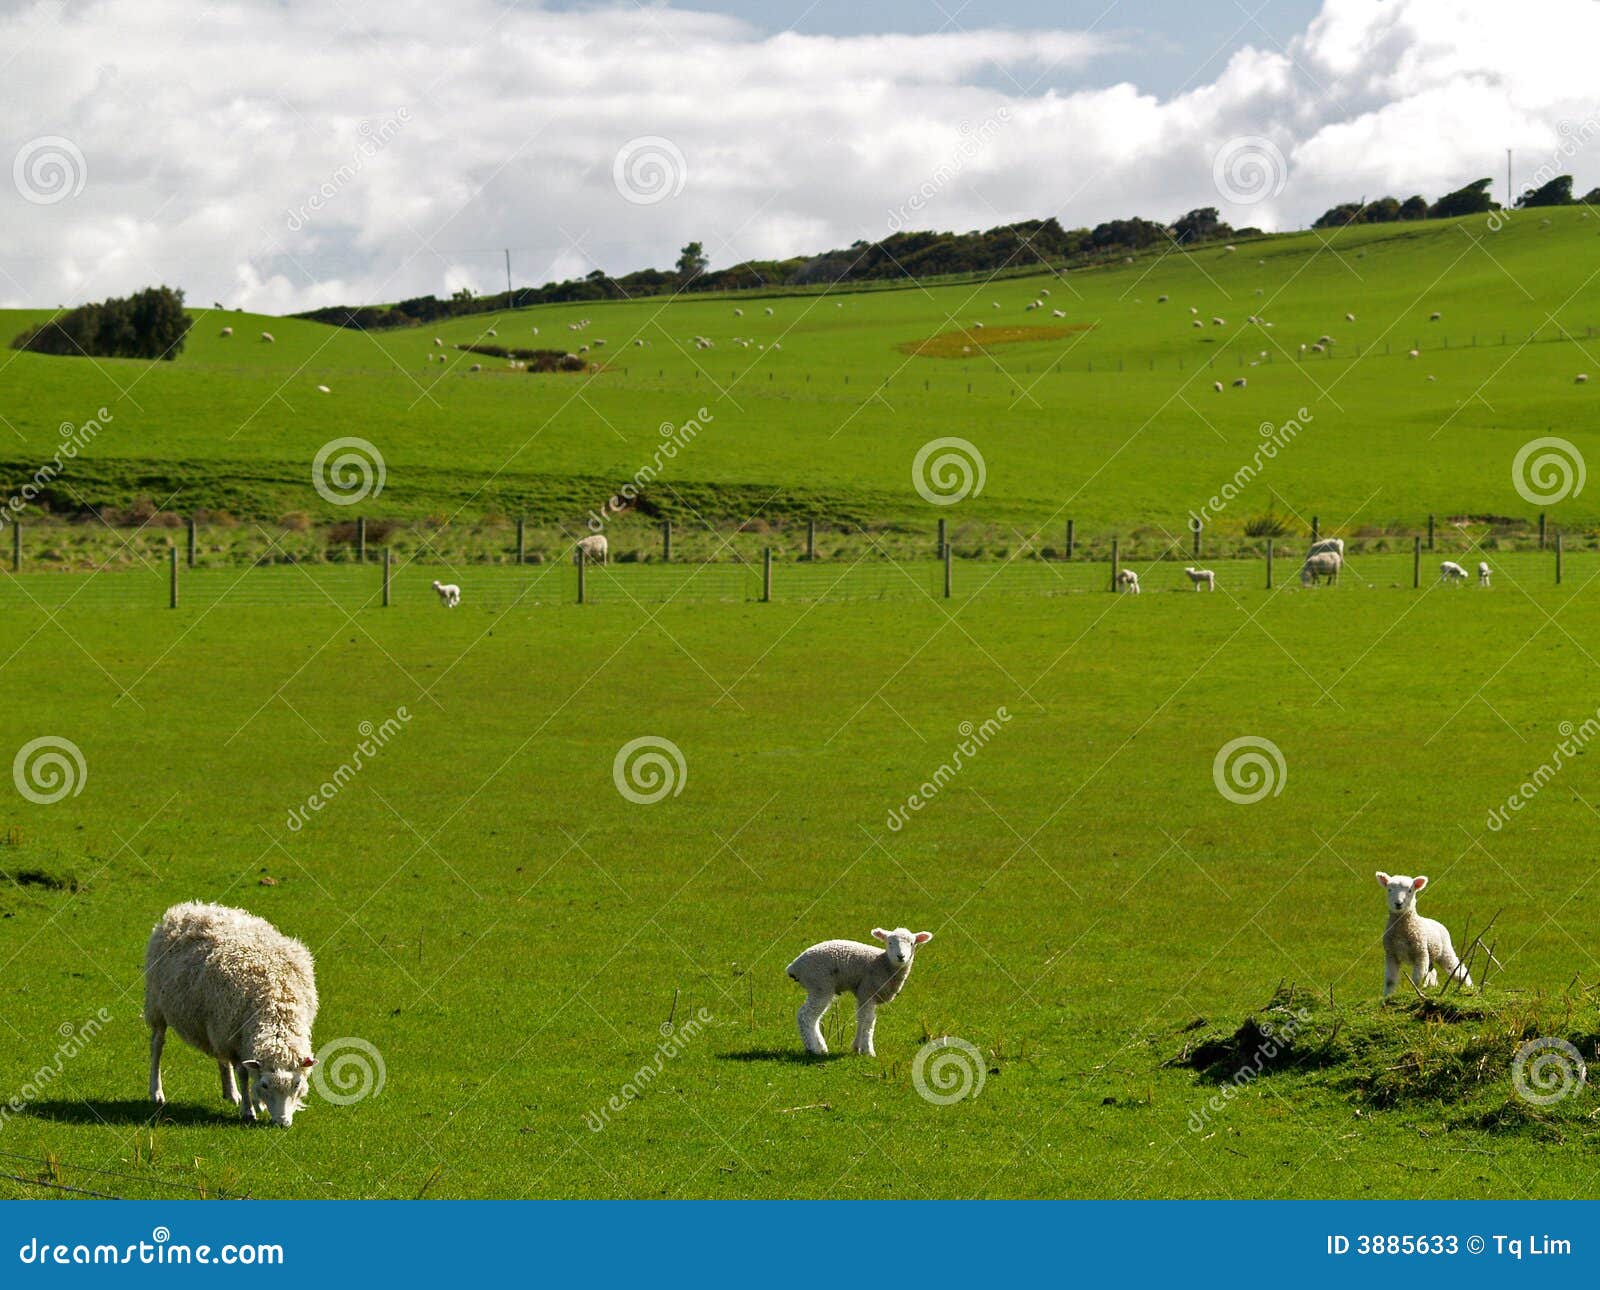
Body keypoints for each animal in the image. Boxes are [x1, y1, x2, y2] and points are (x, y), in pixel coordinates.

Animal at [145, 902, 318, 1127]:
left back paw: (231, 1093)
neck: (275, 1004)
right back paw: (156, 1092)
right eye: (265, 1085)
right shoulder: (234, 1040)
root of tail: (186, 908)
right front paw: (248, 1110)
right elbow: (244, 1074)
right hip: (157, 1004)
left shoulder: (234, 1035)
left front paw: (256, 1104)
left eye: (297, 1084)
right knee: (157, 1044)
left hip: (217, 1024)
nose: (282, 1123)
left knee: (221, 1058)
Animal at [785, 928, 932, 1056]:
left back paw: (822, 1047)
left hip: (818, 987)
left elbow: (863, 1019)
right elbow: (868, 1020)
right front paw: (868, 1051)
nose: (901, 956)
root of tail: (794, 966)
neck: (883, 964)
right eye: (889, 942)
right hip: (820, 984)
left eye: (912, 943)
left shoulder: (864, 994)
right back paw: (813, 1048)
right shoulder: (868, 990)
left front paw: (857, 1047)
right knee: (805, 1015)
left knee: (815, 1018)